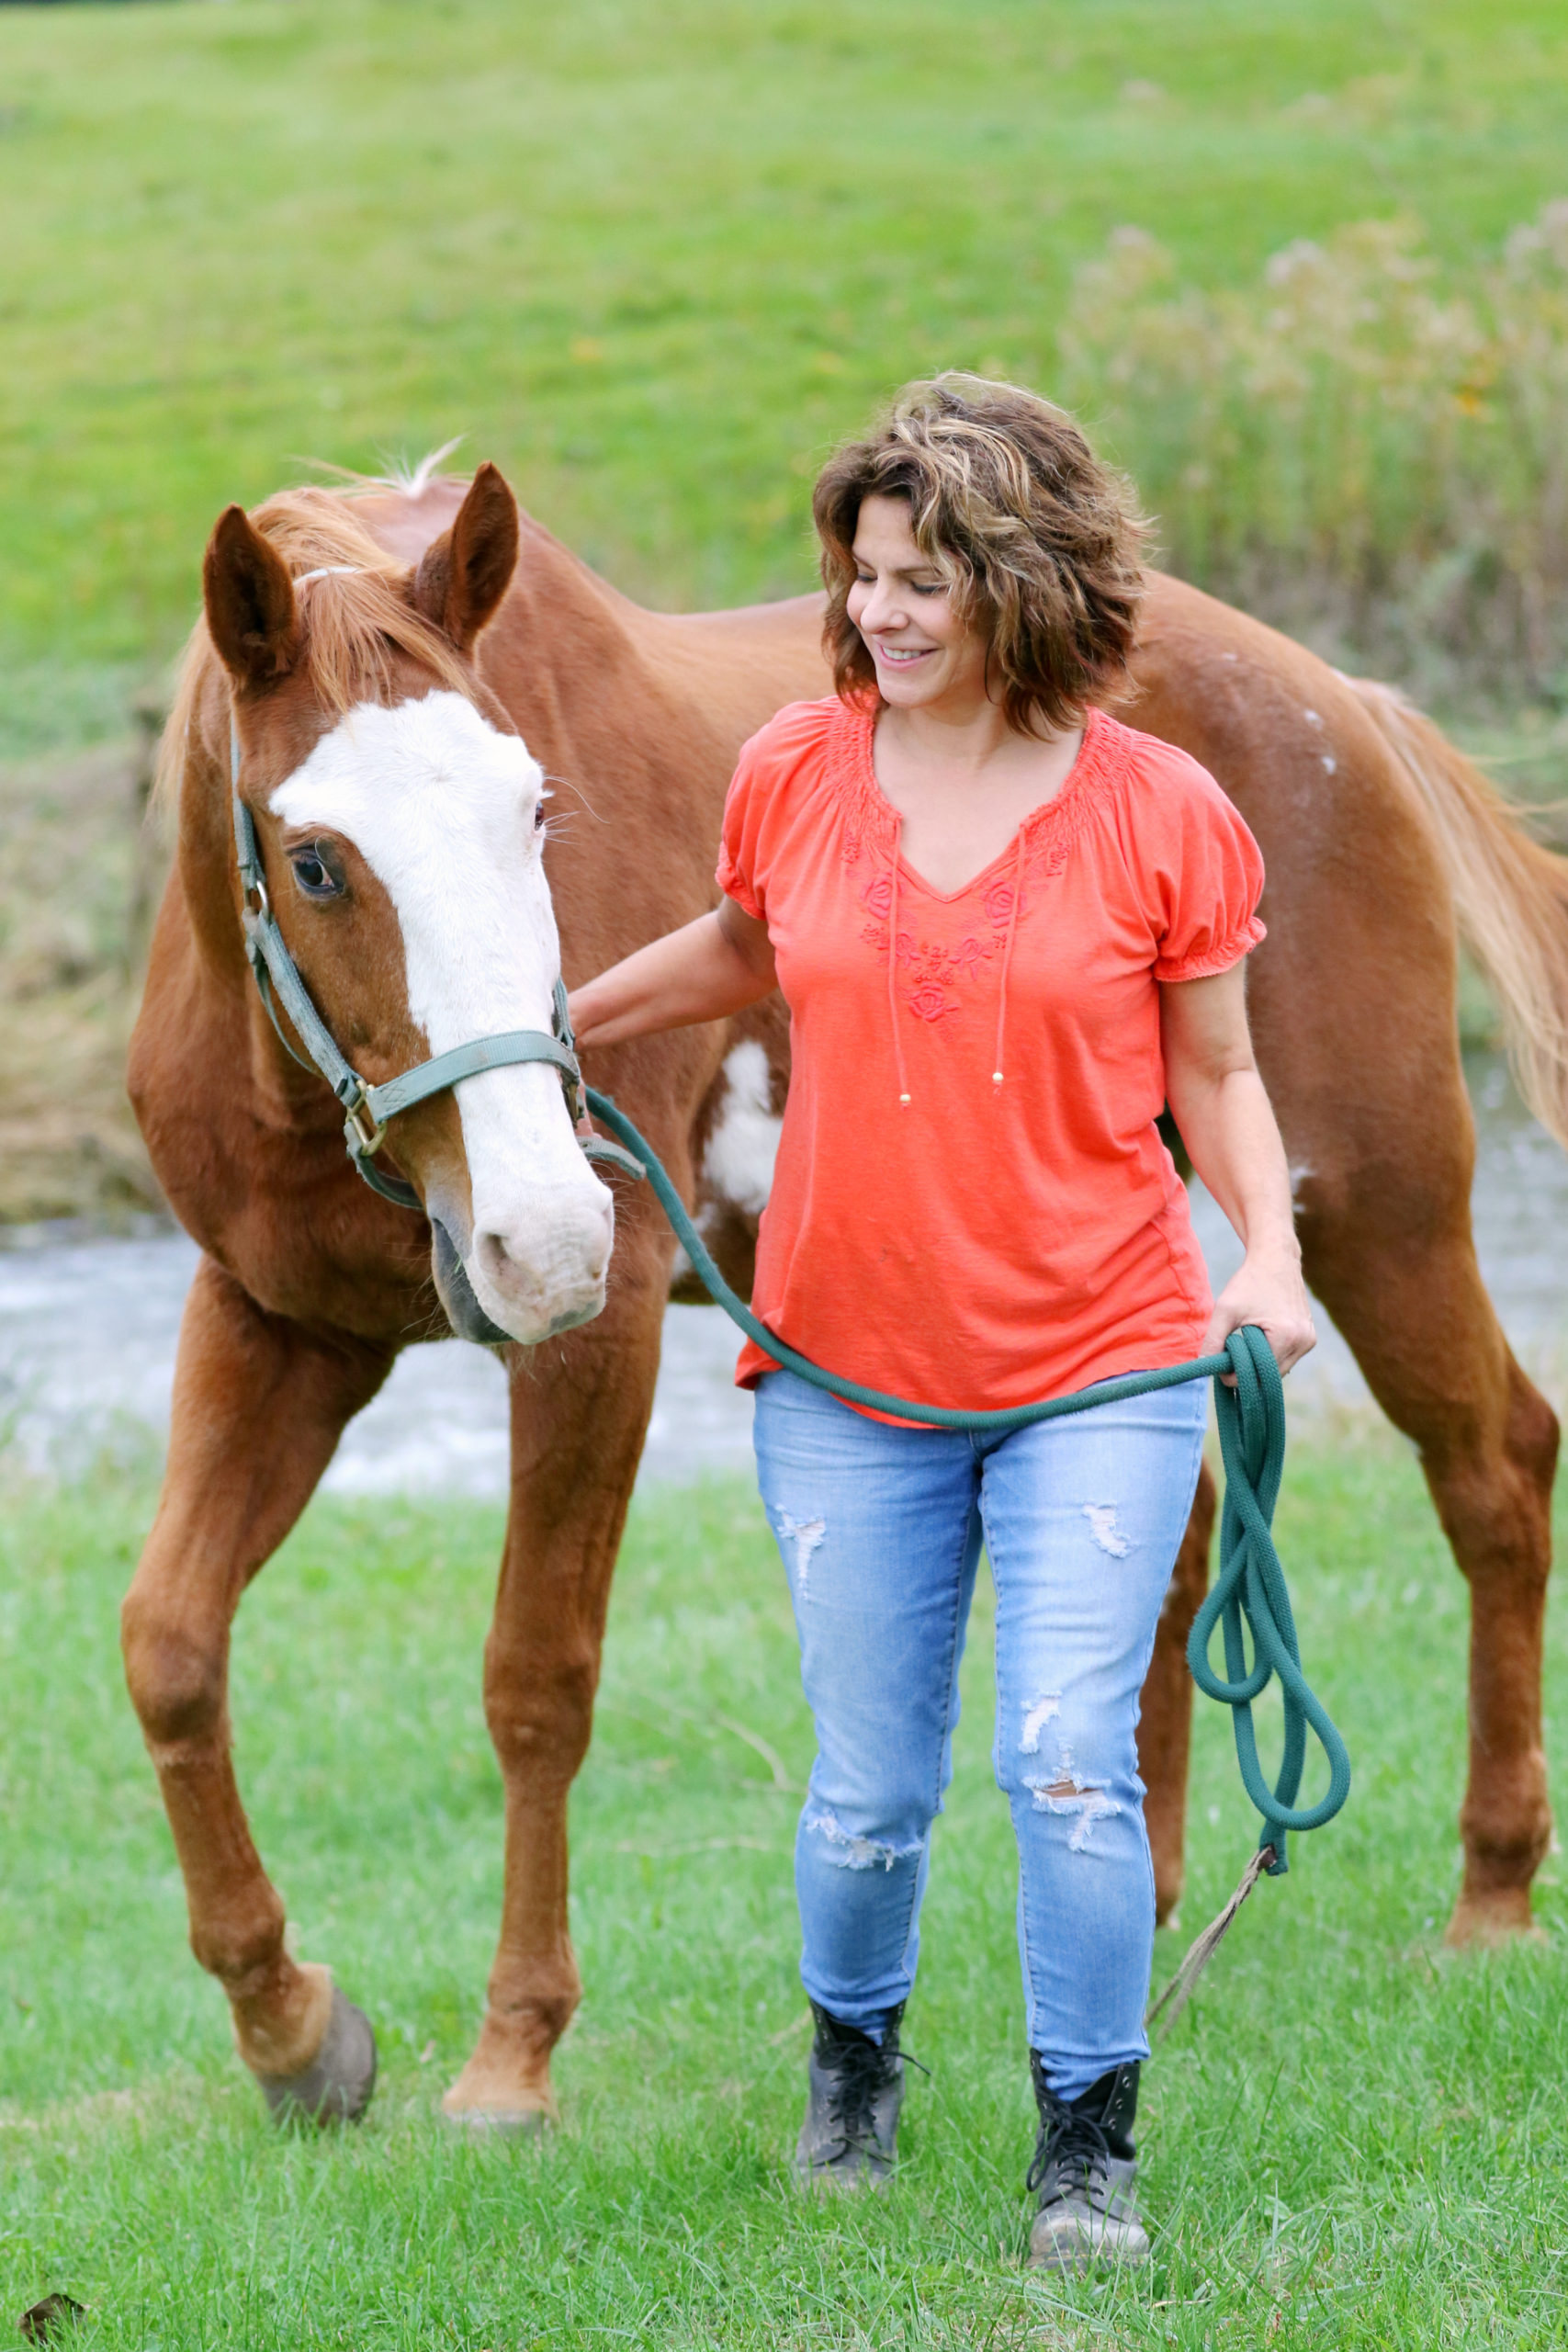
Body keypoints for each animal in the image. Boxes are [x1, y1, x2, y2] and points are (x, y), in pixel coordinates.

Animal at [123, 457, 1567, 2126]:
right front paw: (292, 2030)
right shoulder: (276, 1322)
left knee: (1492, 1468)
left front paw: (510, 2056)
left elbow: (536, 1681)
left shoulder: (594, 1343)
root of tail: (1341, 699)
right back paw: (1143, 1915)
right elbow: (170, 1649)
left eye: (535, 814)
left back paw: (1489, 1896)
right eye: (314, 861)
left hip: (1375, 1213)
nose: (541, 1232)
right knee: (1188, 1531)